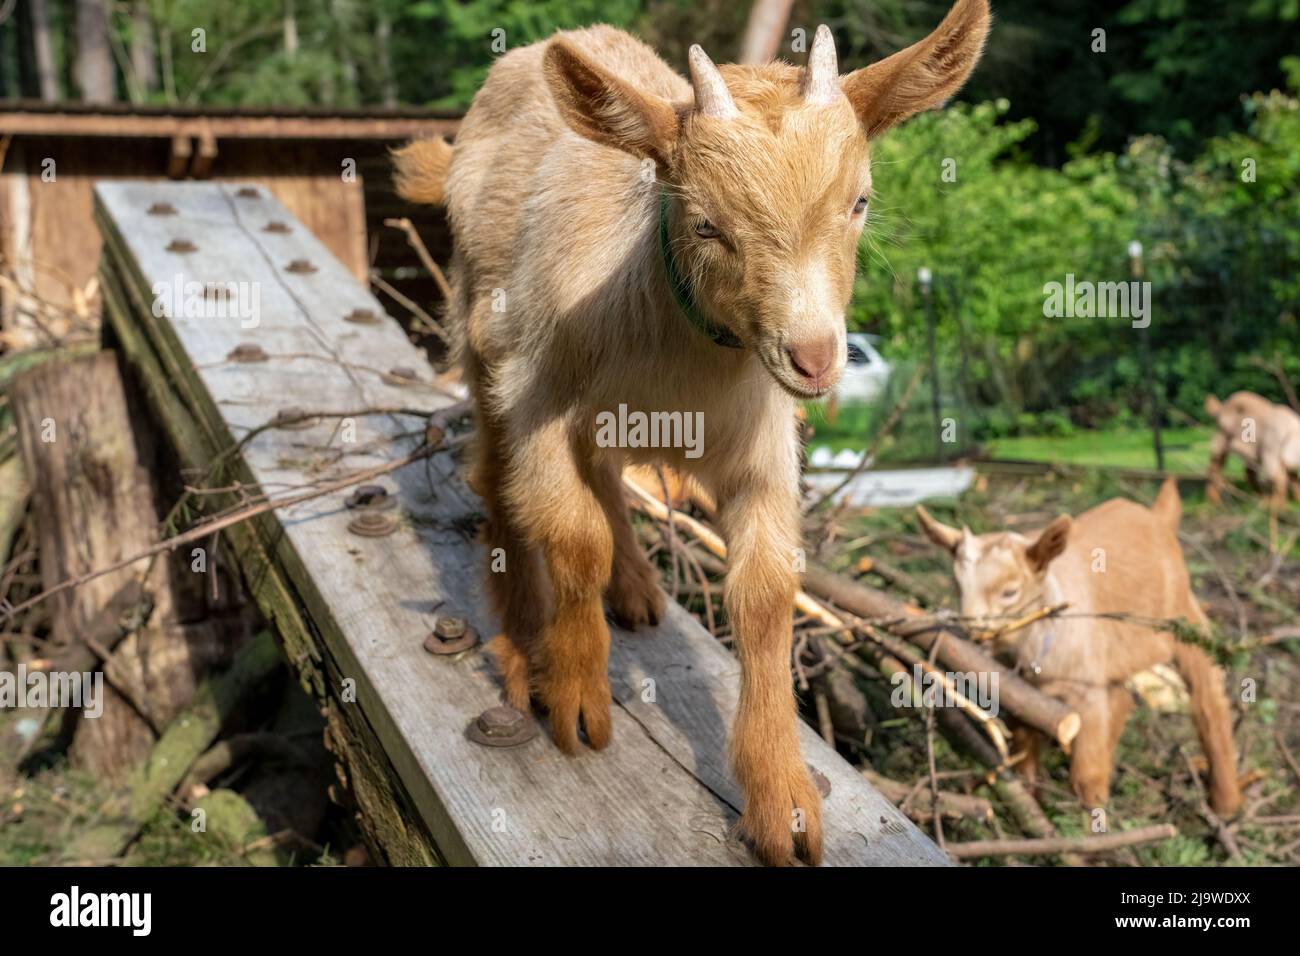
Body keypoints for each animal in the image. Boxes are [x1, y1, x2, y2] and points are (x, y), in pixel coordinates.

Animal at [395, 1, 990, 865]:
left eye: (860, 203)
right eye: (708, 224)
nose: (815, 357)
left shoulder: (762, 444)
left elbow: (767, 590)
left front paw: (783, 799)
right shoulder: (537, 392)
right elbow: (570, 534)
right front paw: (576, 694)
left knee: (601, 472)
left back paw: (637, 588)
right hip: (480, 330)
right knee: (498, 481)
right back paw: (520, 641)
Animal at [916, 479, 1242, 817]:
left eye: (1010, 592)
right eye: (958, 586)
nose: (971, 631)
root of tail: (1157, 517)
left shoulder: (1085, 693)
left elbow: (1087, 774)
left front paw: (1092, 819)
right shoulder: (1023, 697)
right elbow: (1025, 752)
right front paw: (1033, 804)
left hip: (1186, 620)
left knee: (1208, 698)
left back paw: (1226, 805)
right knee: (1122, 697)